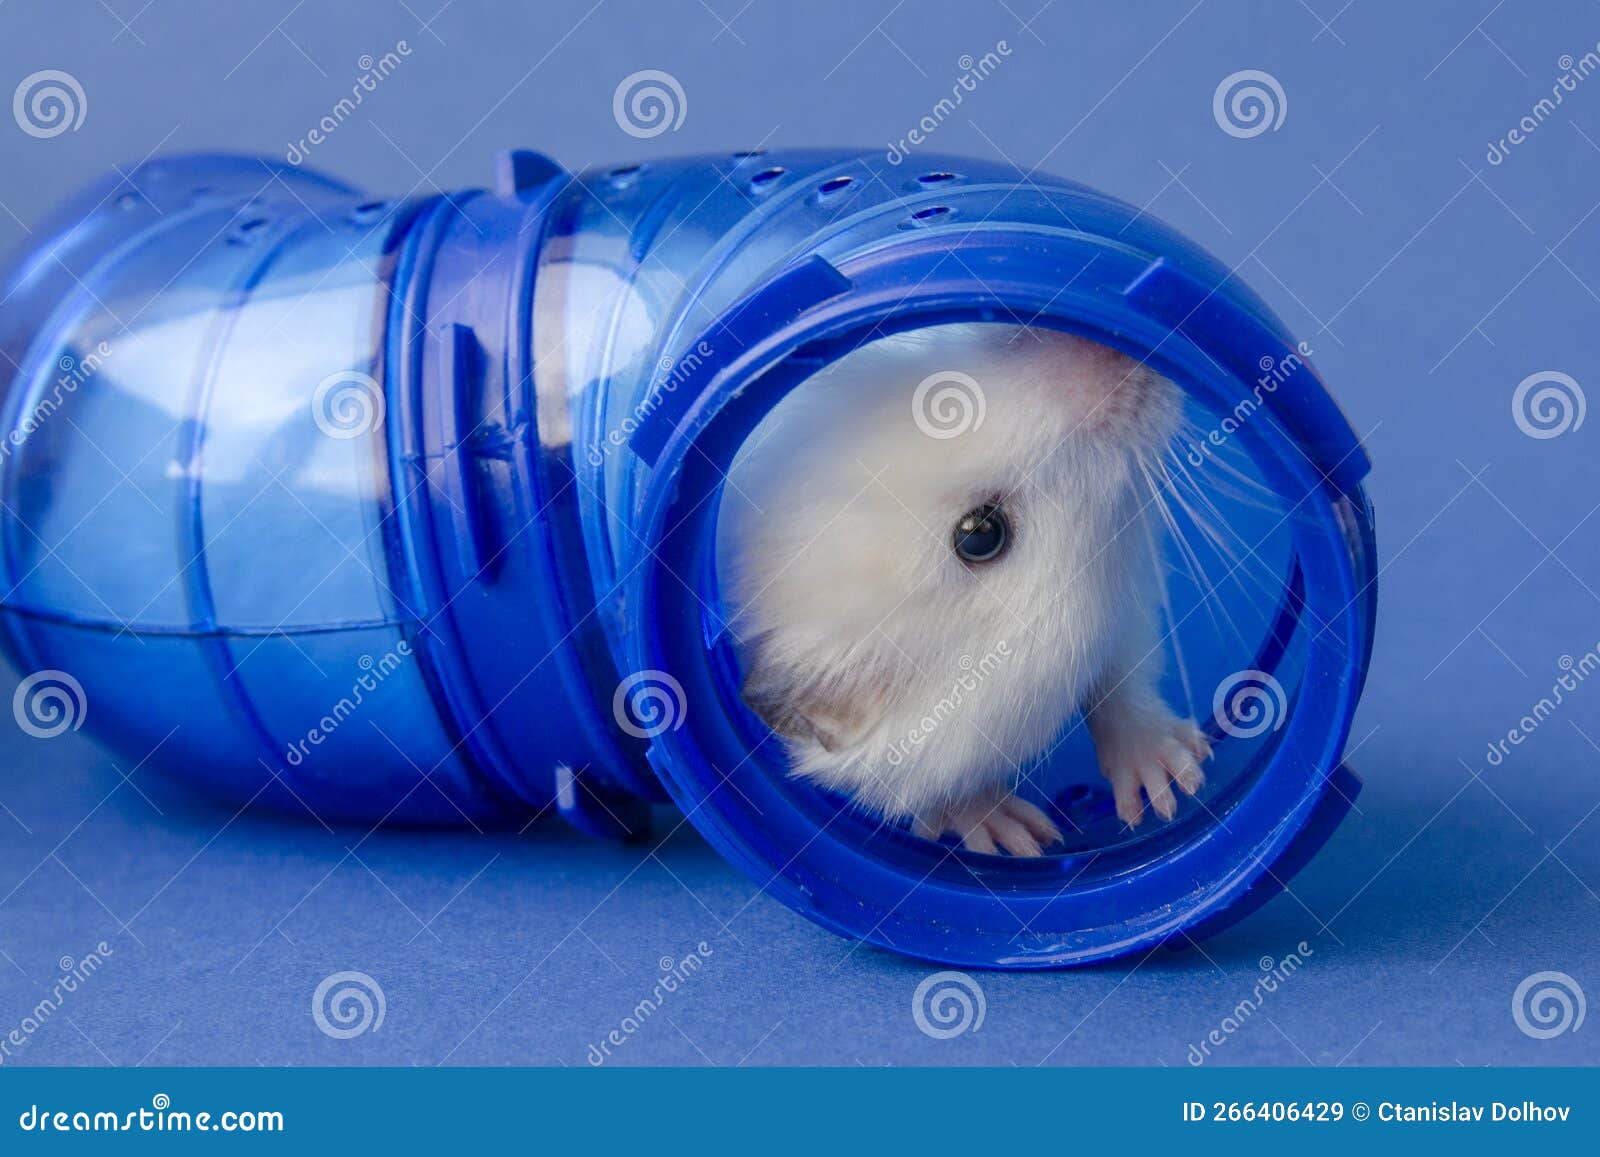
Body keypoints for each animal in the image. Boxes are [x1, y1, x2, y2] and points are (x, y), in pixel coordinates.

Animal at [715, 322, 1211, 856]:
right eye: (980, 535)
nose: (1117, 351)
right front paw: (1018, 840)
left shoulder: (1127, 580)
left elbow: (1122, 676)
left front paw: (1173, 784)